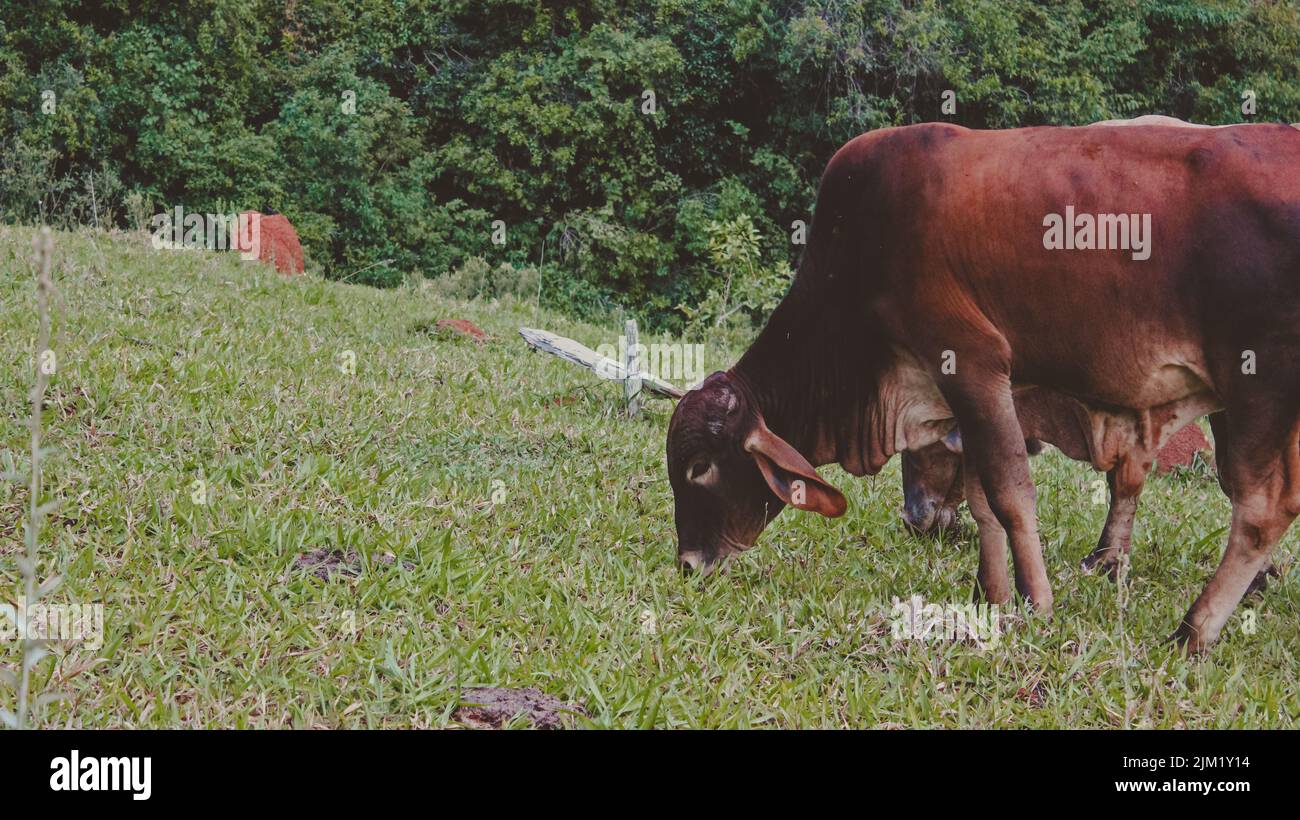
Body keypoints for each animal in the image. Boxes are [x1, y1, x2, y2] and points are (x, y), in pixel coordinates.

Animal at [666, 120, 1300, 652]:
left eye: (700, 467)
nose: (688, 565)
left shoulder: (972, 362)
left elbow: (1010, 491)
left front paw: (1037, 602)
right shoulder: (965, 392)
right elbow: (981, 499)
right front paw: (992, 595)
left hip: (1258, 387)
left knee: (1262, 510)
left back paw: (1192, 632)